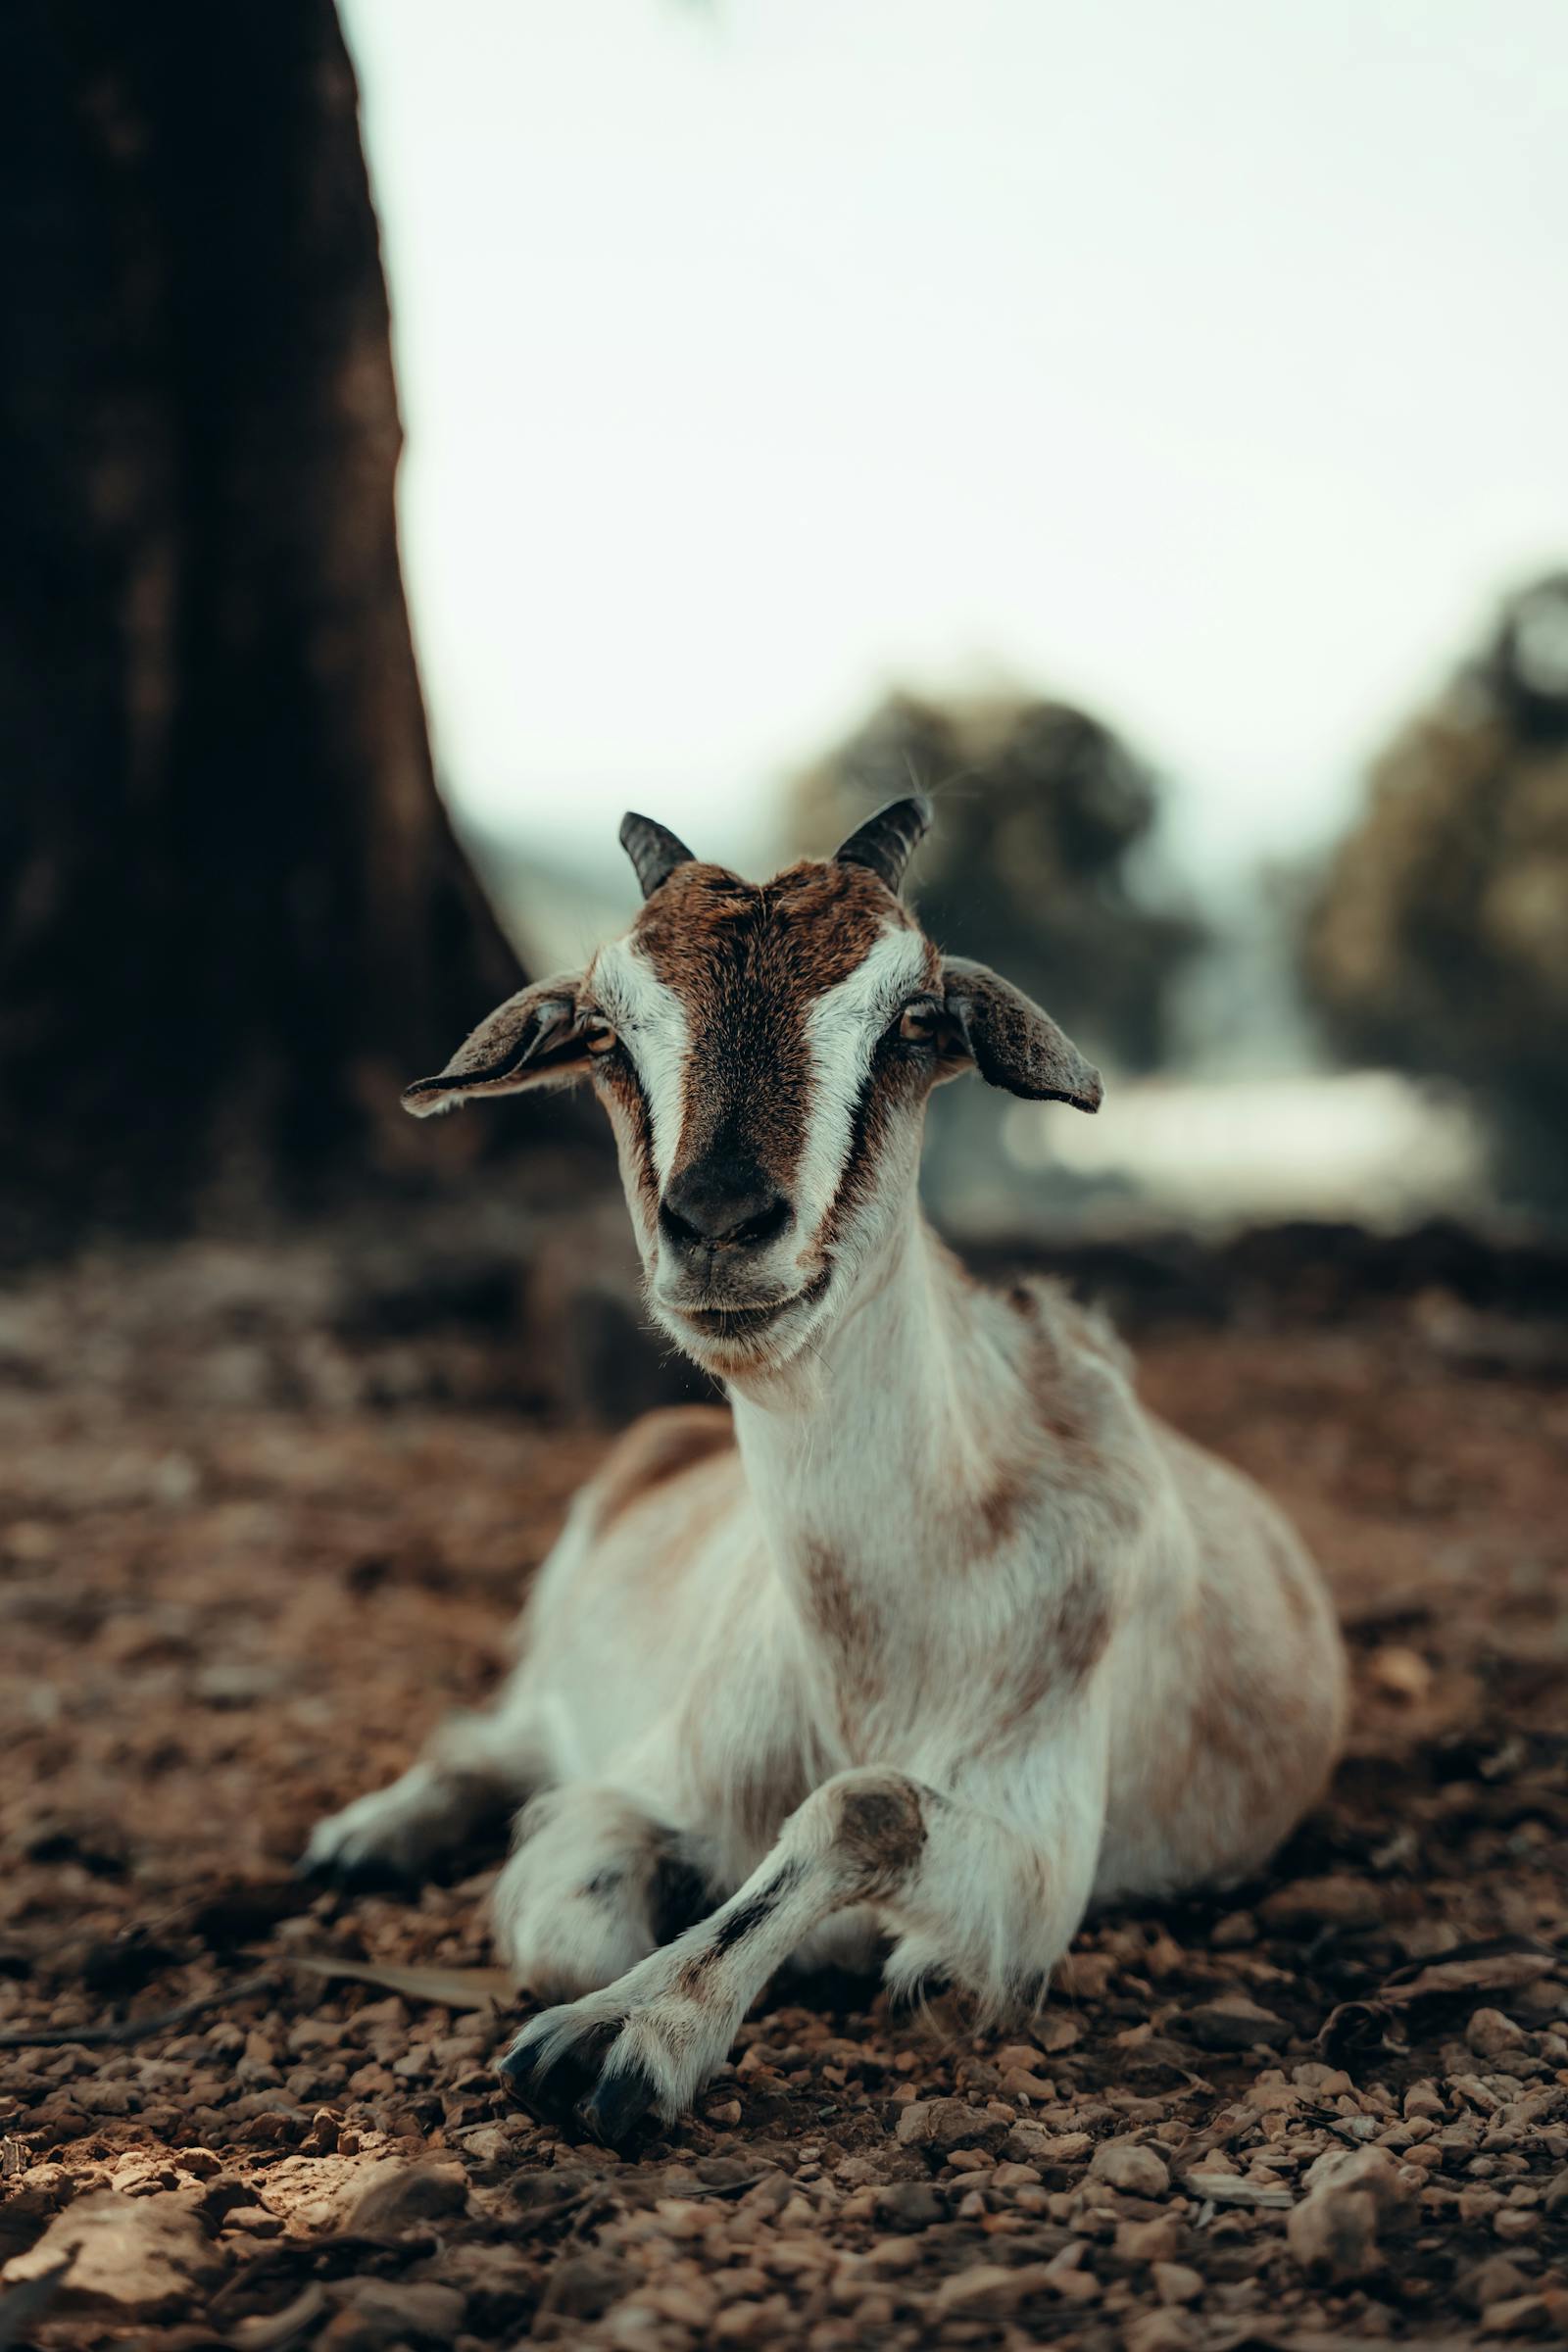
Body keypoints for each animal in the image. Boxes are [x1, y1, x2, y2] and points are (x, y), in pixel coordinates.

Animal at [301, 798, 1347, 2144]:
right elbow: (573, 1914)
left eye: (916, 1019)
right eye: (603, 1029)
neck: (874, 1640)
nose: (720, 1224)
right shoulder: (633, 1782)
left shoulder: (1040, 1865)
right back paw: (362, 1837)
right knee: (488, 1739)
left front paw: (626, 2036)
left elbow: (868, 1807)